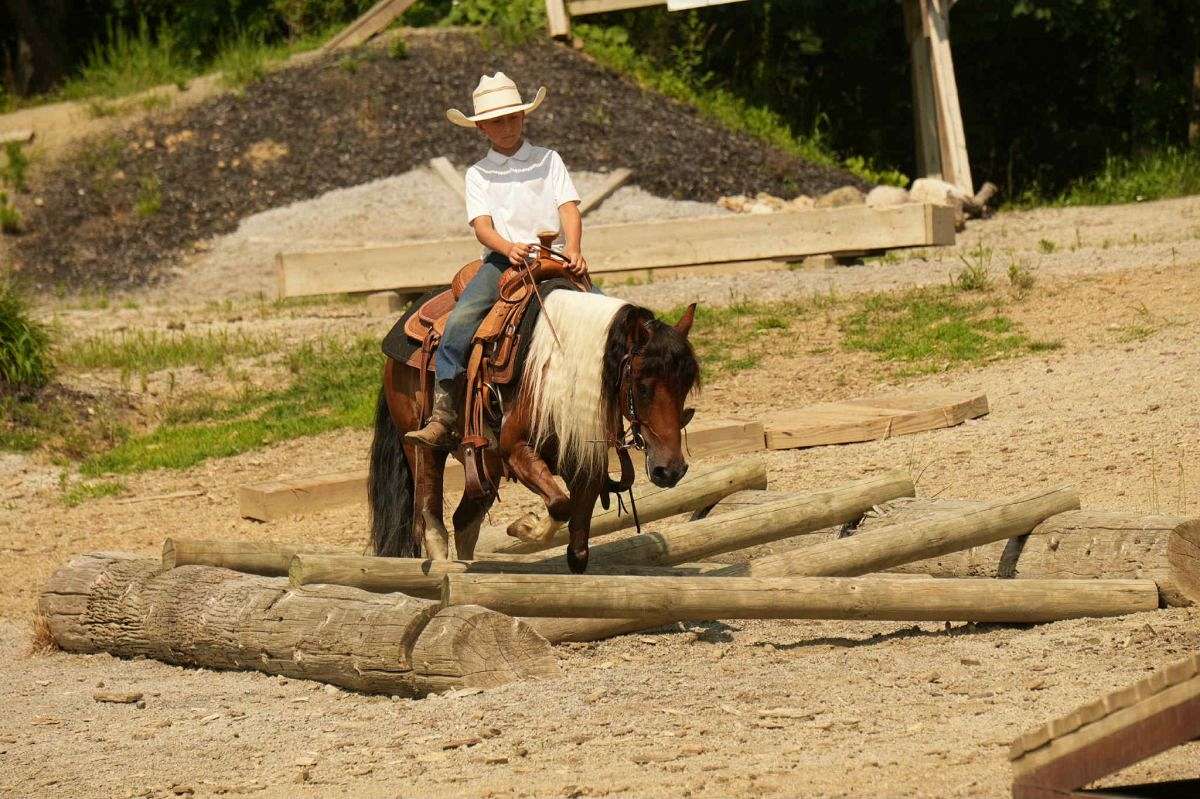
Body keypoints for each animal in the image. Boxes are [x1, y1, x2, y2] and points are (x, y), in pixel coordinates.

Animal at [368, 288, 700, 573]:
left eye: (685, 385)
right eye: (643, 387)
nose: (671, 470)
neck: (561, 369)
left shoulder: (585, 468)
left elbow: (577, 549)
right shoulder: (516, 451)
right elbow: (560, 504)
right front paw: (524, 526)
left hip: (485, 465)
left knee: (464, 521)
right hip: (422, 450)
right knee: (431, 520)